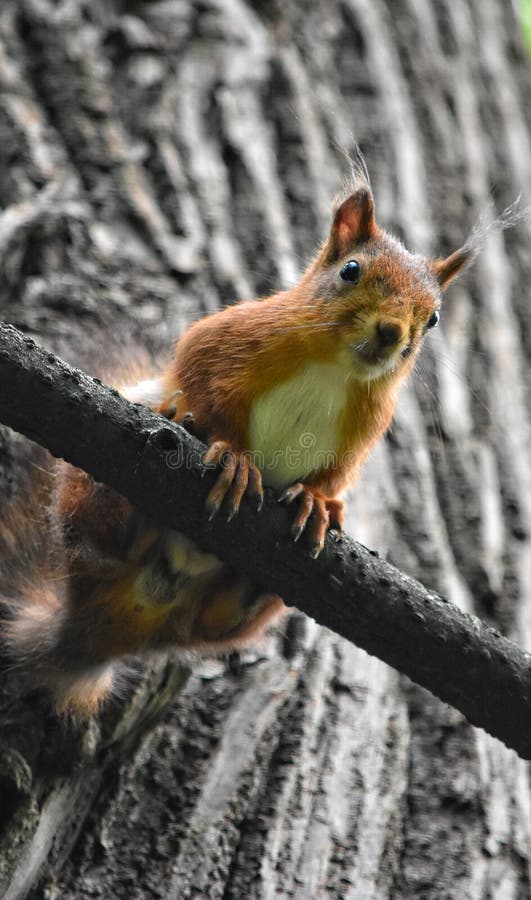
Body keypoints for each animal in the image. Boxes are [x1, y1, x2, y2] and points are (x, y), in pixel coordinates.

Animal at [0, 170, 470, 716]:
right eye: (351, 270)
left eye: (432, 318)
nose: (392, 332)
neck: (335, 368)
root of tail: (96, 627)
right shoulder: (226, 336)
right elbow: (202, 380)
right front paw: (235, 457)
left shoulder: (366, 429)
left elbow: (336, 473)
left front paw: (317, 500)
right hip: (88, 491)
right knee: (103, 533)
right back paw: (162, 435)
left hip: (229, 614)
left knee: (220, 620)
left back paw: (255, 583)